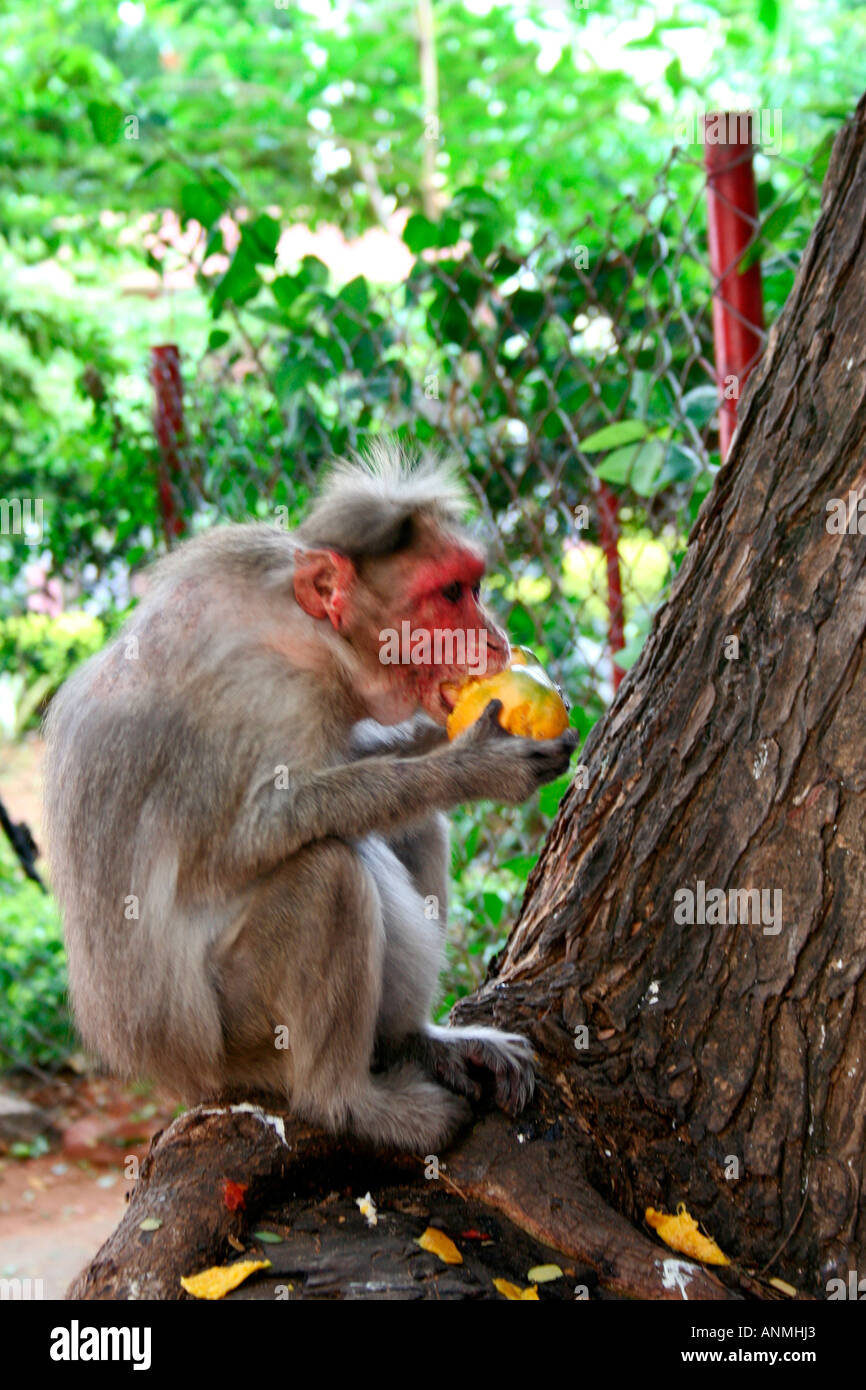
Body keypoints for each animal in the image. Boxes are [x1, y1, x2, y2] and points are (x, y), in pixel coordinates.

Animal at [43, 441, 579, 1152]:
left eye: (473, 586)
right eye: (450, 594)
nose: (493, 638)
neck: (314, 638)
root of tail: (174, 1069)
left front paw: (436, 739)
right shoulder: (268, 692)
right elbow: (233, 846)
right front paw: (472, 767)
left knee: (410, 827)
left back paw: (417, 1039)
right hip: (239, 1040)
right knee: (328, 875)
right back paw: (351, 1103)